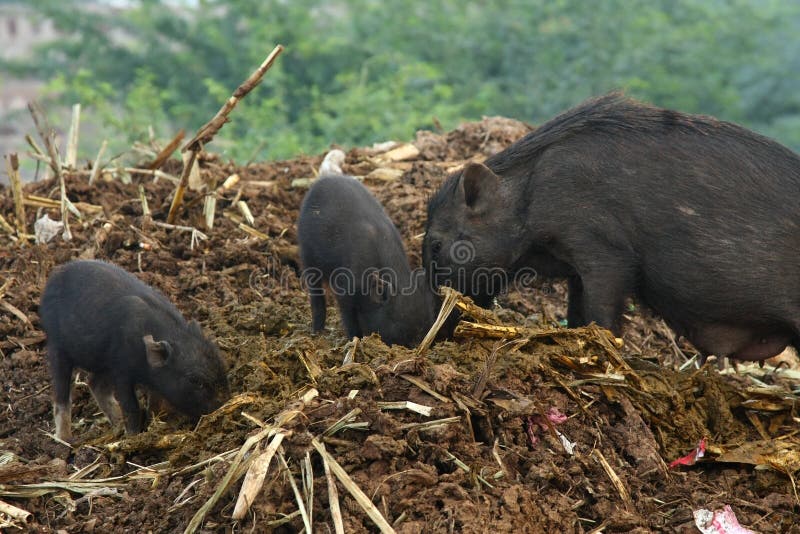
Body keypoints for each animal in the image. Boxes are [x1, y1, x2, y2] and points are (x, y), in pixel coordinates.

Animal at [39, 260, 230, 442]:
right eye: (195, 381)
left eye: (223, 371)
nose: (224, 404)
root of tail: (55, 275)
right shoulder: (121, 370)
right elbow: (131, 406)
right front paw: (132, 437)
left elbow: (154, 404)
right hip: (57, 346)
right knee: (62, 394)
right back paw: (67, 440)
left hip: (102, 364)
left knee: (94, 383)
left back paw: (116, 425)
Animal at [297, 174, 437, 347]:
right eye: (400, 332)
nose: (418, 347)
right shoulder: (345, 292)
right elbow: (349, 319)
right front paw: (355, 341)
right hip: (307, 255)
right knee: (315, 293)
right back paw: (316, 332)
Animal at [423, 92, 800, 362]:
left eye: (437, 245)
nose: (434, 330)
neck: (527, 202)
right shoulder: (575, 269)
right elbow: (577, 313)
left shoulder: (604, 250)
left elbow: (601, 313)